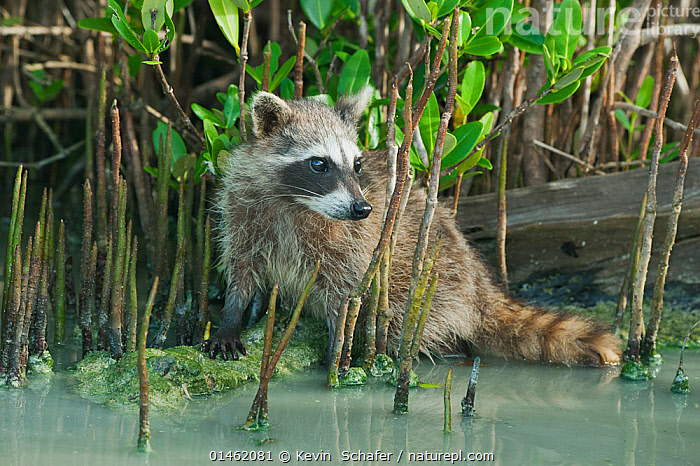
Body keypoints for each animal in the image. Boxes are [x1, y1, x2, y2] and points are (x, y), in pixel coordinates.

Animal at [203, 87, 621, 366]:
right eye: (319, 164)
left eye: (356, 164)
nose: (363, 208)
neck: (297, 203)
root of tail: (480, 287)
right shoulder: (242, 212)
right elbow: (241, 271)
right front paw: (230, 319)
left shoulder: (351, 244)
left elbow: (345, 295)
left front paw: (338, 348)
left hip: (435, 281)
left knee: (405, 318)